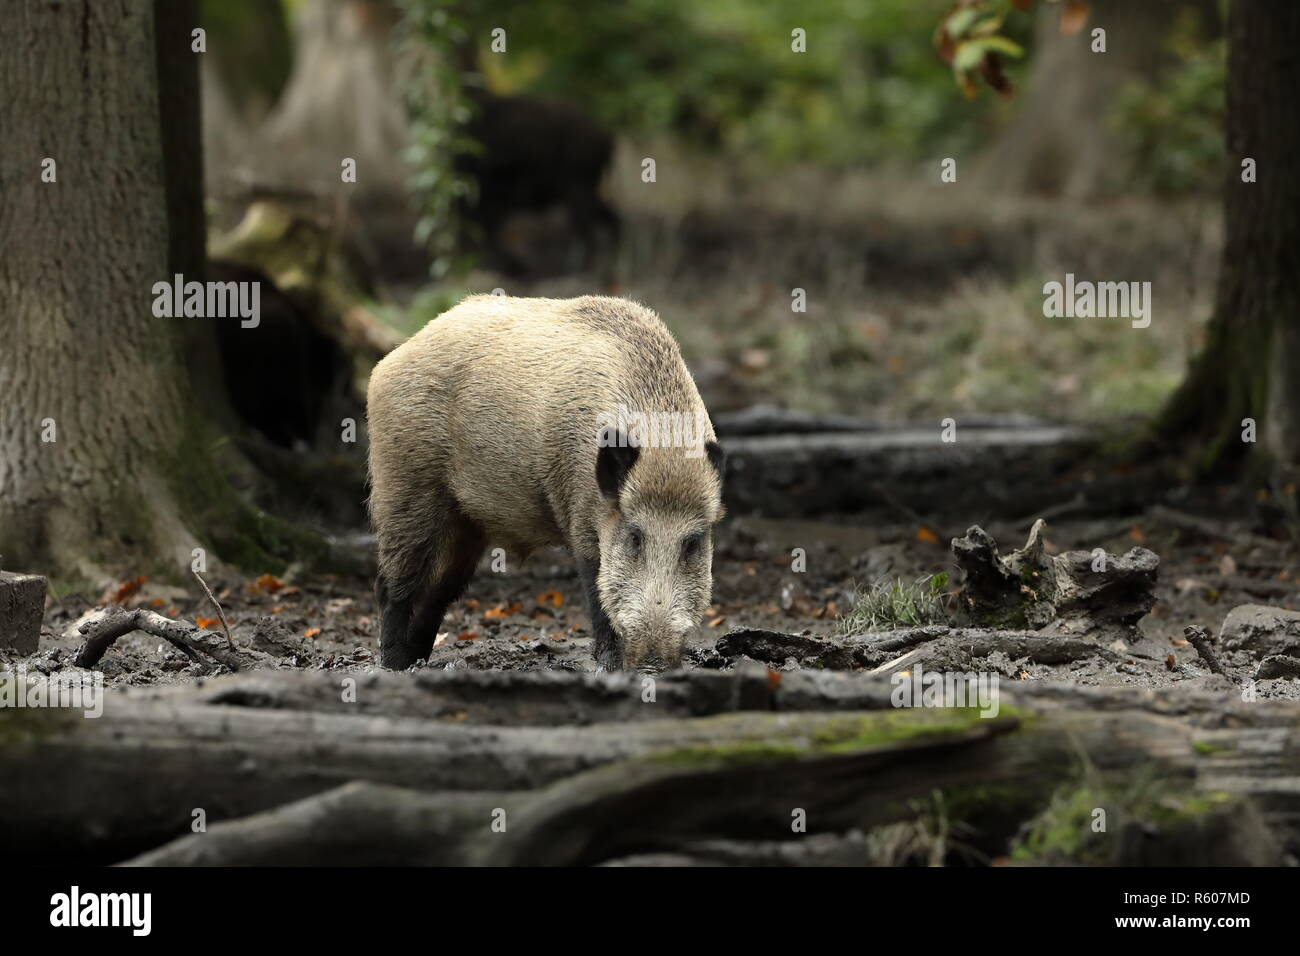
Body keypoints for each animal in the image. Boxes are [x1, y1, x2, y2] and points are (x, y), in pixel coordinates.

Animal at [366, 294, 724, 672]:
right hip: (403, 486)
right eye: (634, 537)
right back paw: (393, 664)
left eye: (693, 542)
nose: (653, 664)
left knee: (440, 591)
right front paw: (610, 665)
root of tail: (390, 360)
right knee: (392, 585)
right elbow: (596, 587)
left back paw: (417, 659)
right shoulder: (582, 514)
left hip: (466, 522)